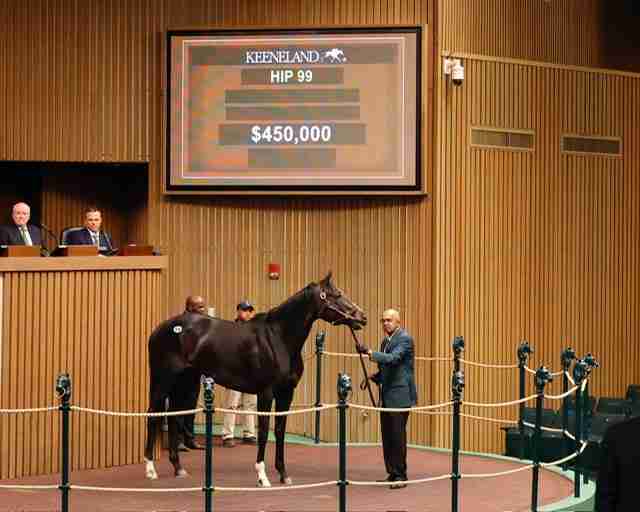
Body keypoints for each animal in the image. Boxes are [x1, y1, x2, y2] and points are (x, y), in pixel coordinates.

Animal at [143, 272, 367, 486]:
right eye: (337, 295)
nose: (362, 317)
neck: (279, 338)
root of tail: (160, 329)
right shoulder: (266, 393)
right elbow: (264, 431)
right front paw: (262, 476)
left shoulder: (287, 393)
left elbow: (279, 430)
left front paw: (283, 474)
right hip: (163, 380)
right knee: (153, 415)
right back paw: (150, 469)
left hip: (184, 382)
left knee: (174, 416)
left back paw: (178, 468)